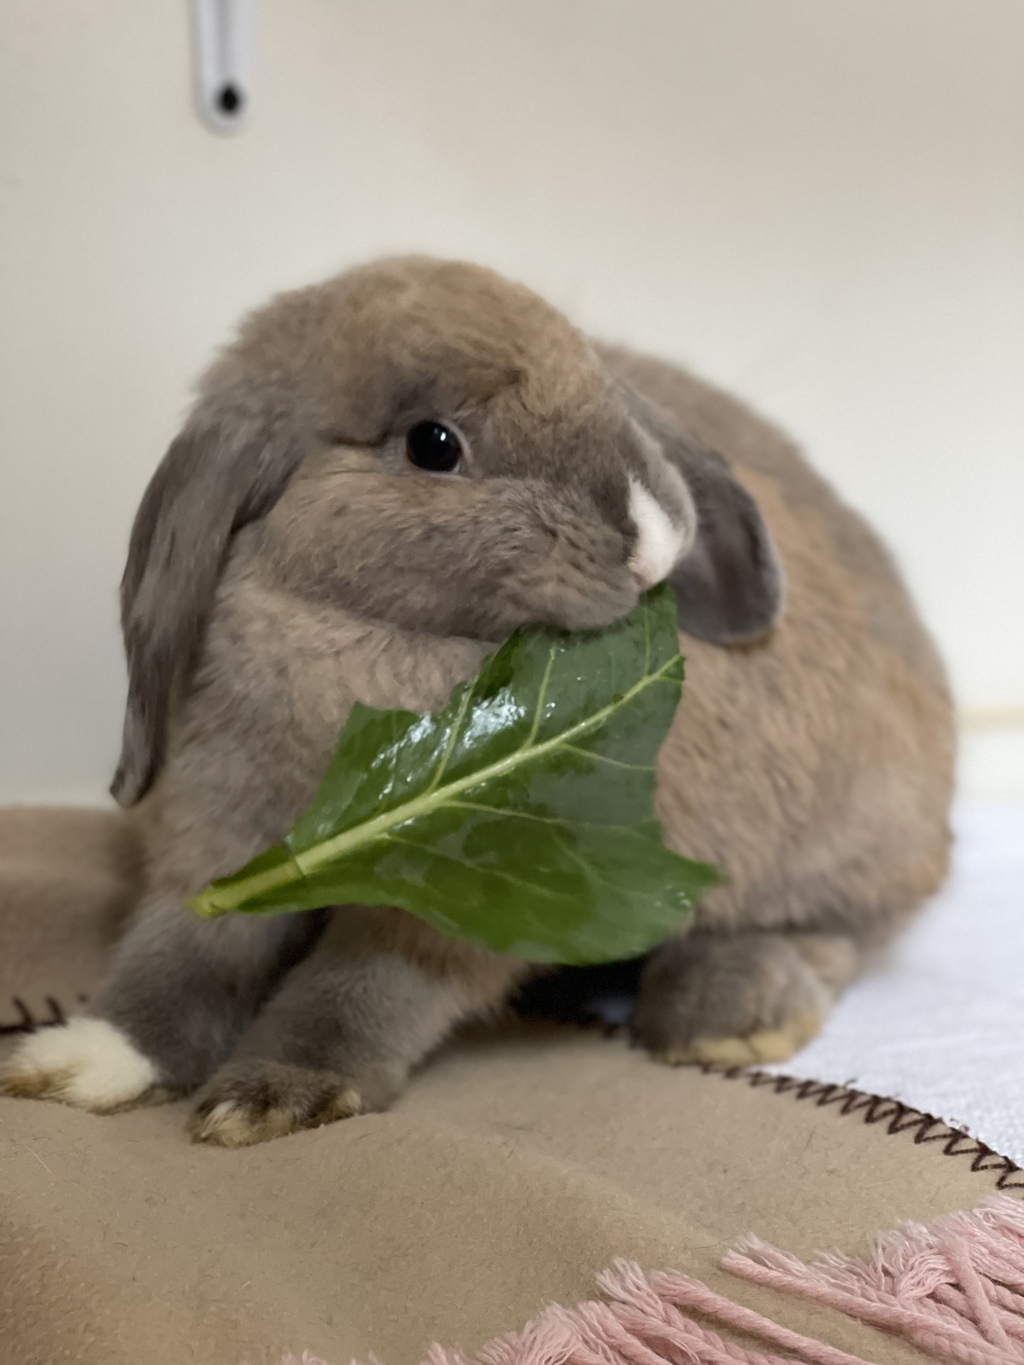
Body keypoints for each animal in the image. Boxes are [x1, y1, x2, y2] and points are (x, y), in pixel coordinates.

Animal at [0, 257, 955, 1145]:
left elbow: (364, 988)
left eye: (597, 382)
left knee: (838, 928)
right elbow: (181, 953)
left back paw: (730, 1015)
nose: (654, 537)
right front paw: (80, 1058)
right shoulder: (216, 841)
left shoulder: (454, 902)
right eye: (433, 443)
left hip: (834, 840)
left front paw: (273, 1093)